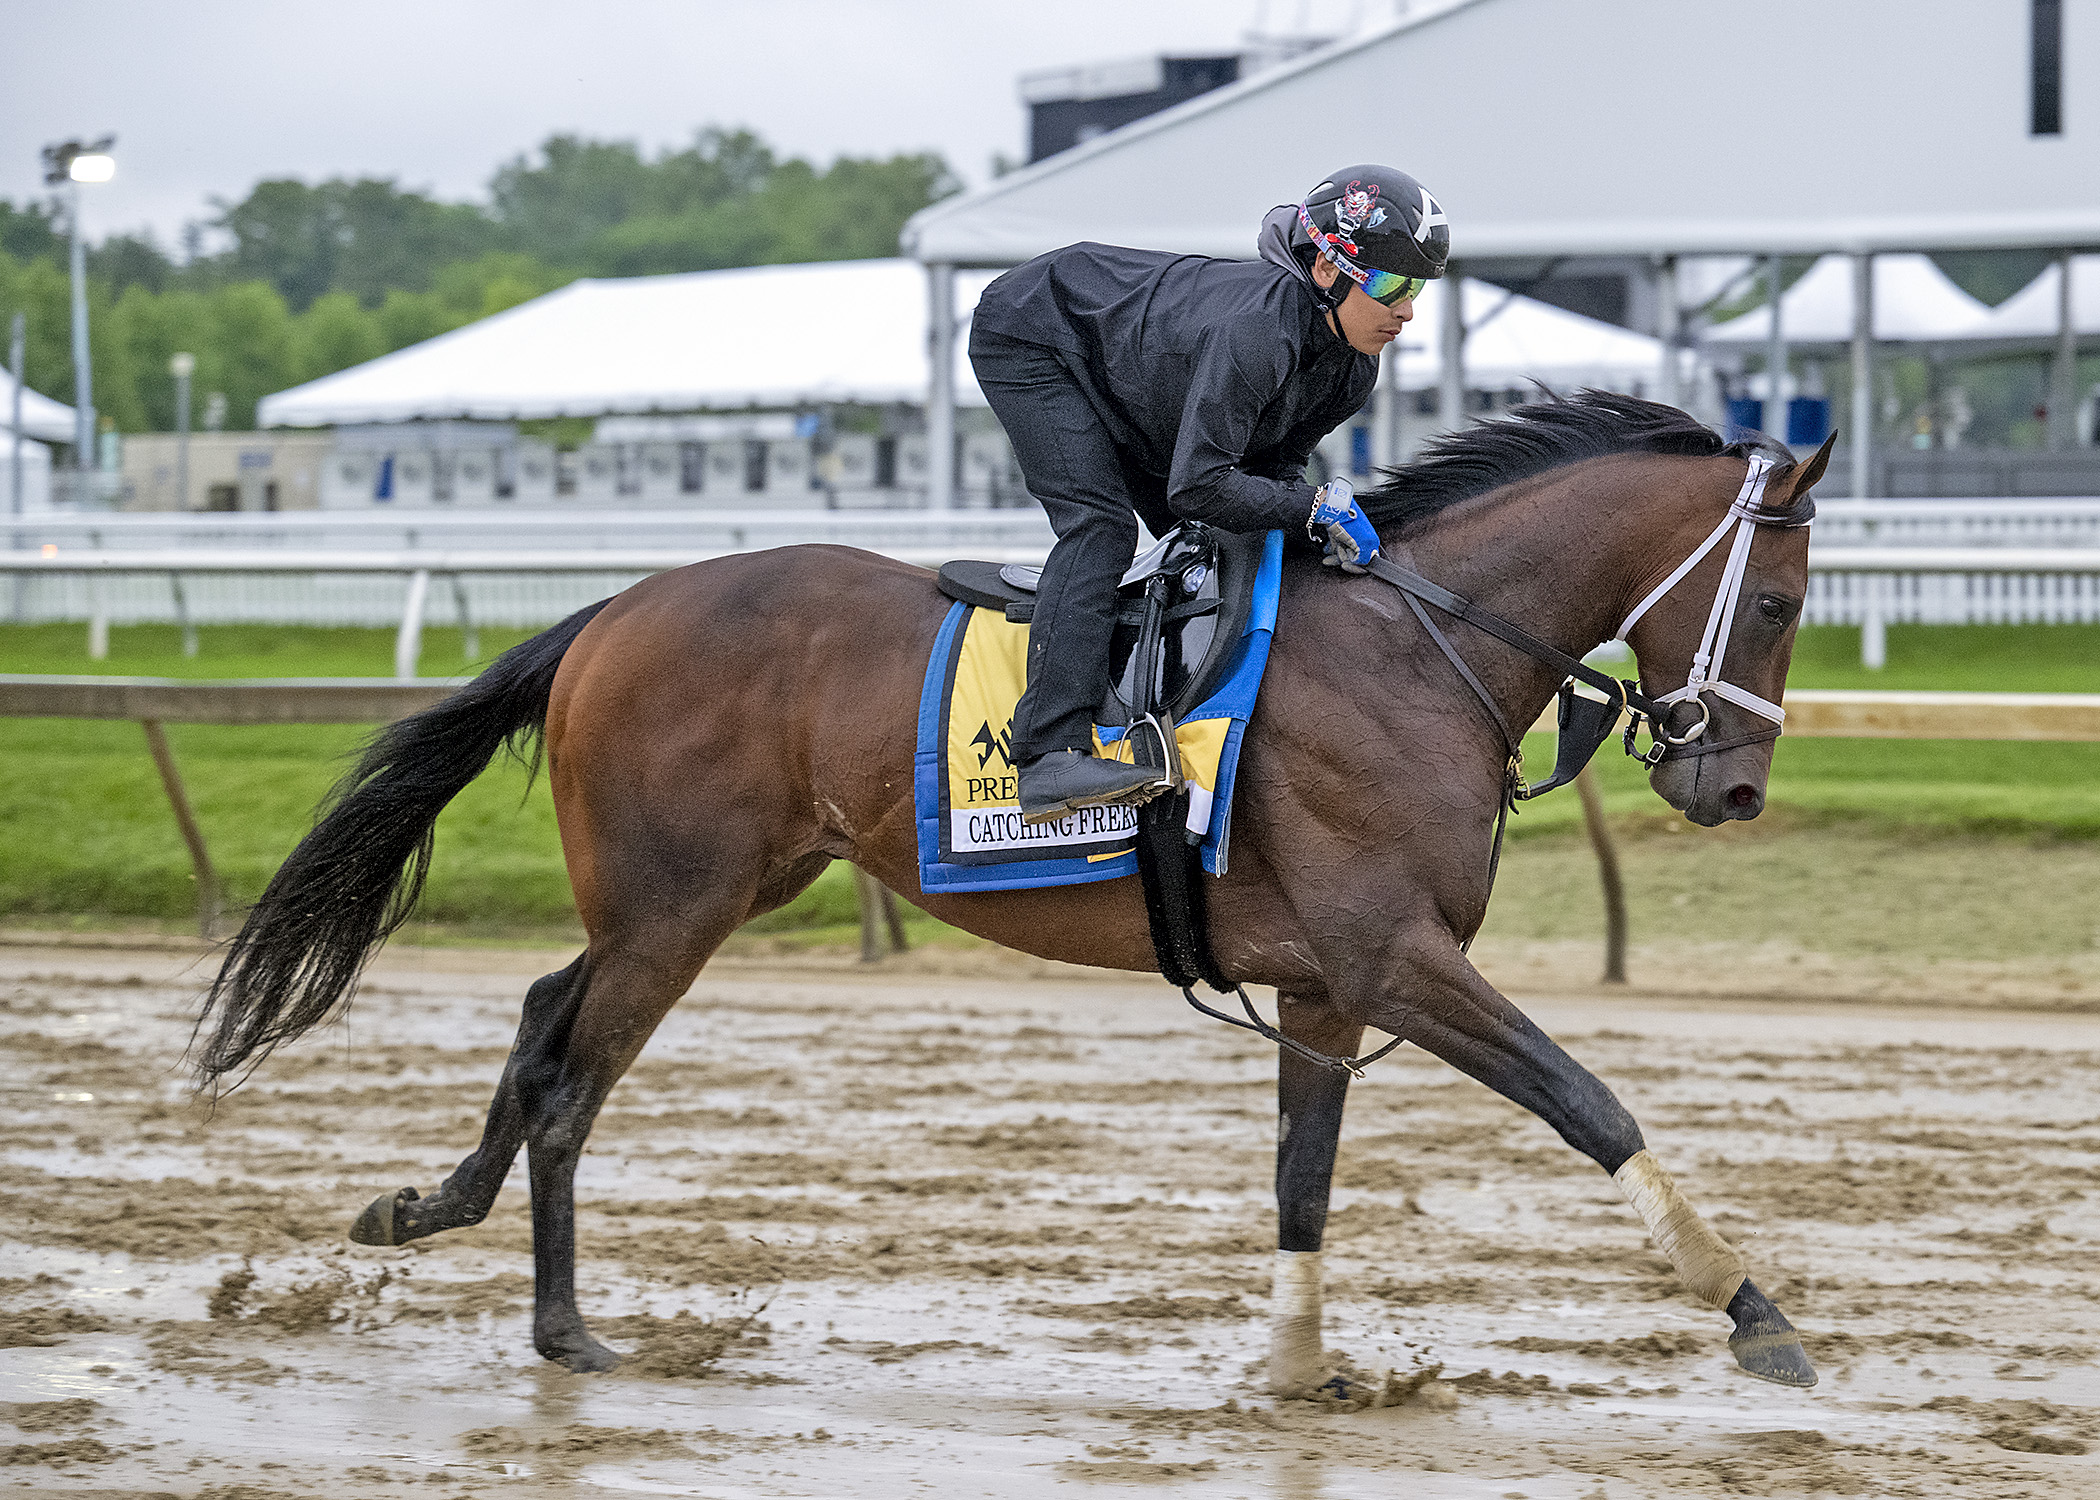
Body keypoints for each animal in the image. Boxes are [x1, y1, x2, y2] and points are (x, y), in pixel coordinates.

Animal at [194, 391, 1832, 1393]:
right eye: (1775, 600)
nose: (1733, 791)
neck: (1417, 649)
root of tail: (611, 612)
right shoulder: (1397, 959)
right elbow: (1590, 1103)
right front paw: (1753, 1308)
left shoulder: (1324, 985)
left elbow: (1302, 1180)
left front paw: (1300, 1370)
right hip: (675, 909)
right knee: (571, 1072)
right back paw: (563, 1327)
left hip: (713, 890)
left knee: (544, 1016)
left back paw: (427, 1209)